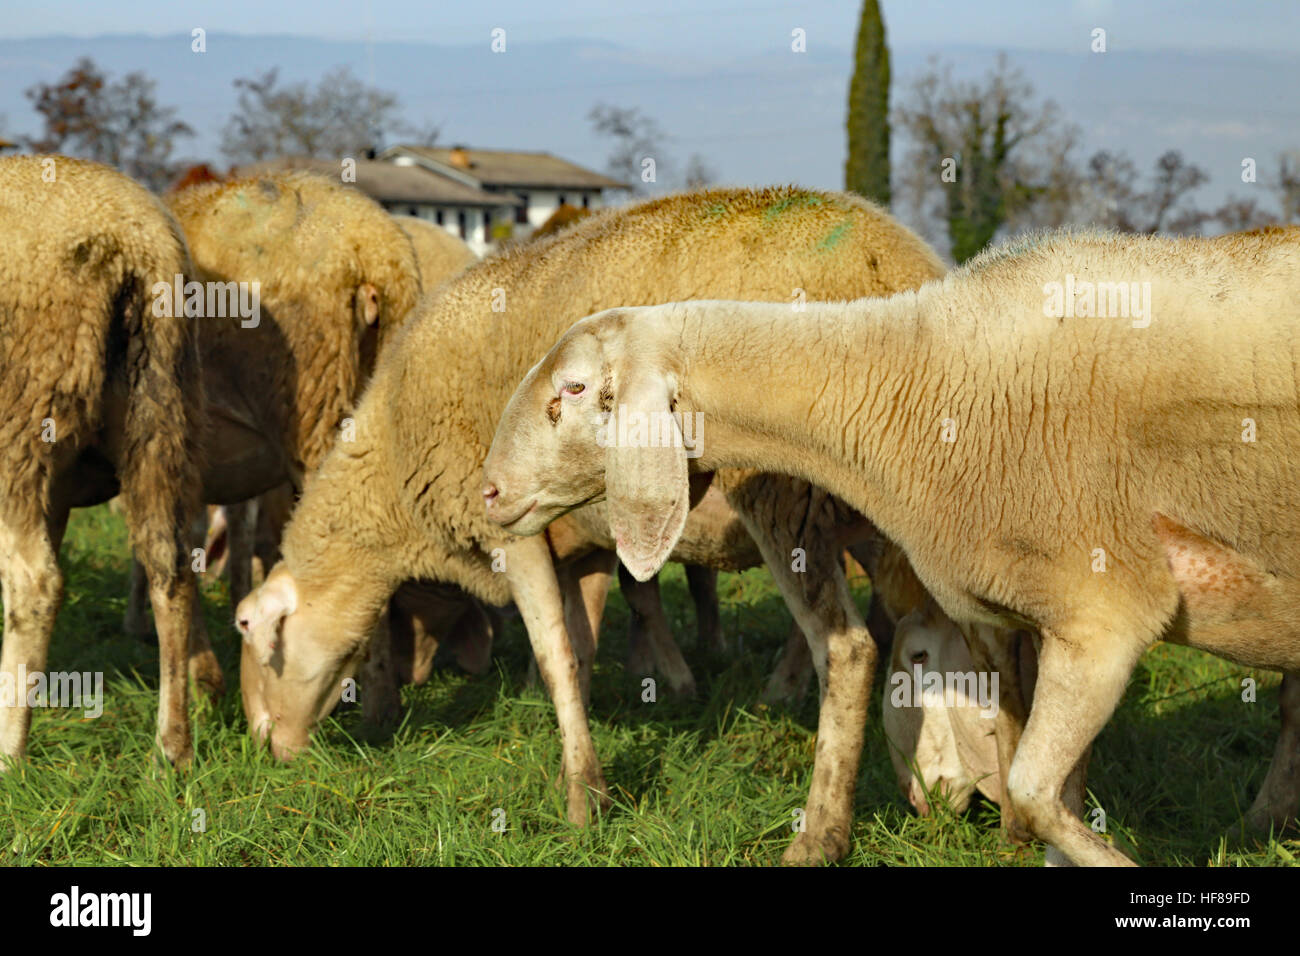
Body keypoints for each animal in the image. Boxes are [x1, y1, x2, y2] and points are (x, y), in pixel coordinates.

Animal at [0, 154, 203, 767]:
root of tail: (133, 244)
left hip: (23, 420)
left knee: (36, 581)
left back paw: (9, 754)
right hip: (163, 418)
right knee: (171, 569)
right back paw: (172, 753)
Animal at [235, 185, 947, 864]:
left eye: (247, 627)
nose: (265, 750)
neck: (394, 469)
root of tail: (901, 264)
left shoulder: (512, 530)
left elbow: (553, 654)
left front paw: (582, 800)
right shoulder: (587, 545)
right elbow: (580, 649)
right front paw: (580, 777)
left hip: (785, 492)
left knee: (849, 650)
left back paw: (821, 833)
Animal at [482, 226, 1300, 866]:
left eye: (575, 390)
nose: (486, 491)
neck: (914, 390)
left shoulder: (1103, 612)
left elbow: (1036, 794)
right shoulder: (1058, 626)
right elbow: (1056, 800)